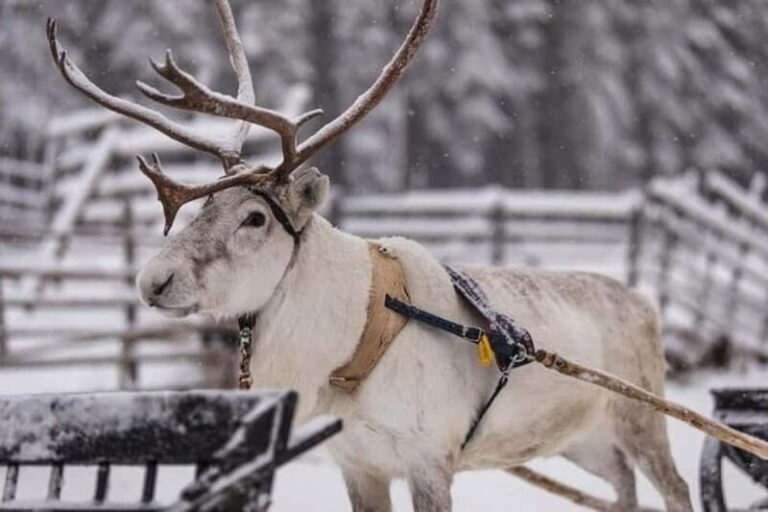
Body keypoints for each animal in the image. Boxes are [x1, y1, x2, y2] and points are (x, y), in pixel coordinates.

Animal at [47, 1, 693, 511]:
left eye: (255, 217)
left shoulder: (431, 459)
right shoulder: (357, 462)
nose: (153, 279)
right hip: (584, 438)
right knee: (622, 488)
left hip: (640, 417)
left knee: (675, 486)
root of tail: (645, 302)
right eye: (201, 208)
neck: (351, 344)